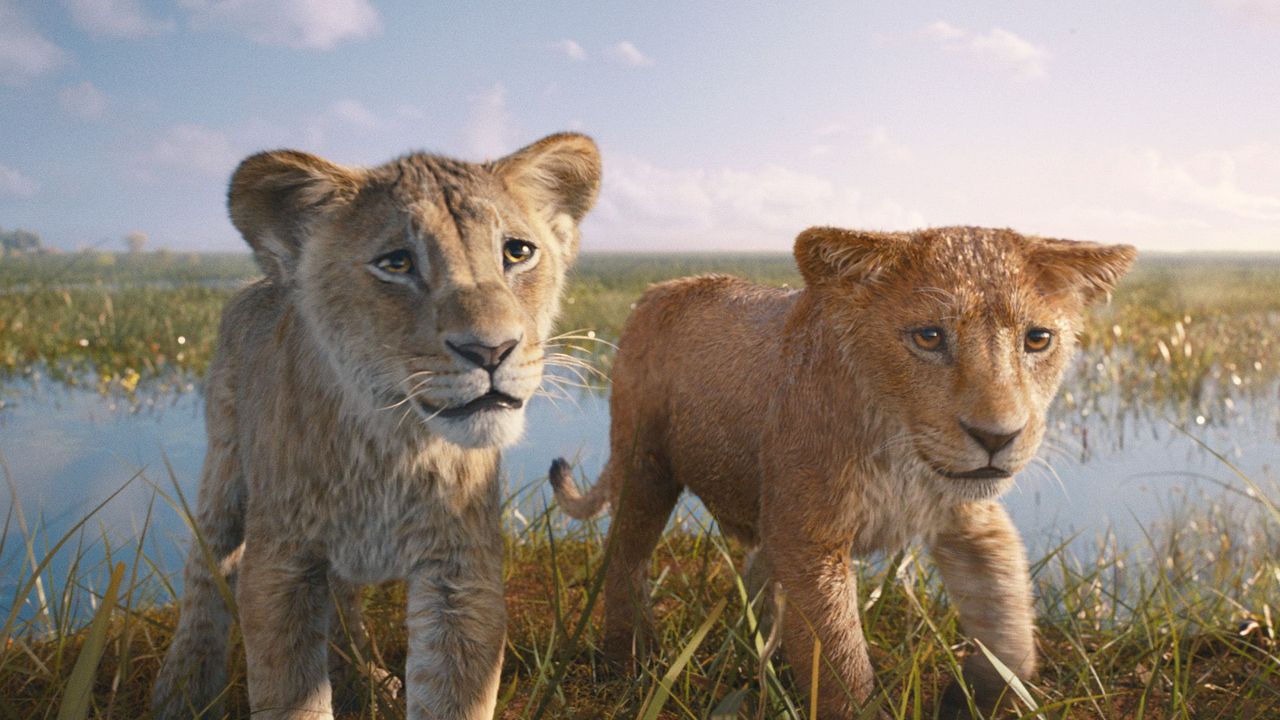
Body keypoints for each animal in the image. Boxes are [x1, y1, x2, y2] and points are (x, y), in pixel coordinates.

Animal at [151, 133, 601, 720]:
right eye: (397, 262)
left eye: (517, 252)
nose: (491, 350)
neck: (393, 444)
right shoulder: (281, 566)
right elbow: (289, 694)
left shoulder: (461, 573)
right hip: (224, 466)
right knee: (207, 570)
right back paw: (181, 690)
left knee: (342, 597)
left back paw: (363, 676)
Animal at [549, 226, 1135, 718]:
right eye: (928, 337)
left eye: (1038, 339)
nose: (997, 438)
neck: (901, 453)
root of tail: (658, 289)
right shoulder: (811, 539)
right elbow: (841, 662)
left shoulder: (970, 521)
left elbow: (1010, 624)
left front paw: (977, 695)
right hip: (645, 465)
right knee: (626, 558)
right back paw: (628, 663)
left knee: (758, 576)